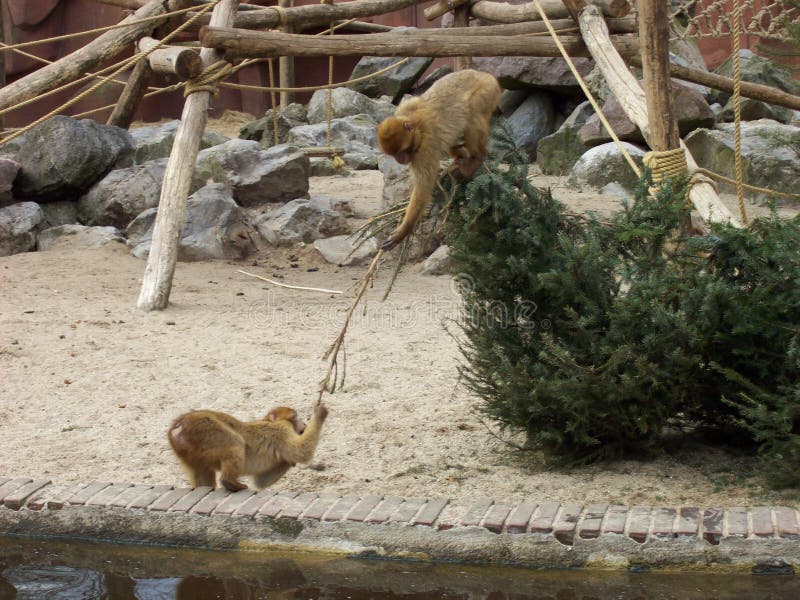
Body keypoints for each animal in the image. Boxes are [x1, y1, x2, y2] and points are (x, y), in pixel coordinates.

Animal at [168, 403, 328, 491]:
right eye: (294, 417)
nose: (303, 424)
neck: (269, 421)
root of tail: (178, 427)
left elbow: (260, 481)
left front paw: (289, 462)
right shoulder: (282, 429)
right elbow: (301, 452)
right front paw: (320, 413)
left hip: (187, 450)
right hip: (204, 428)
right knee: (235, 442)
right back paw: (230, 482)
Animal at [377, 69, 502, 250]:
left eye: (402, 151)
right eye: (394, 155)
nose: (400, 160)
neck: (415, 127)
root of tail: (485, 74)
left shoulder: (425, 148)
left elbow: (424, 186)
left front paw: (404, 230)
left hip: (487, 92)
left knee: (471, 113)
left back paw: (478, 157)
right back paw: (460, 158)